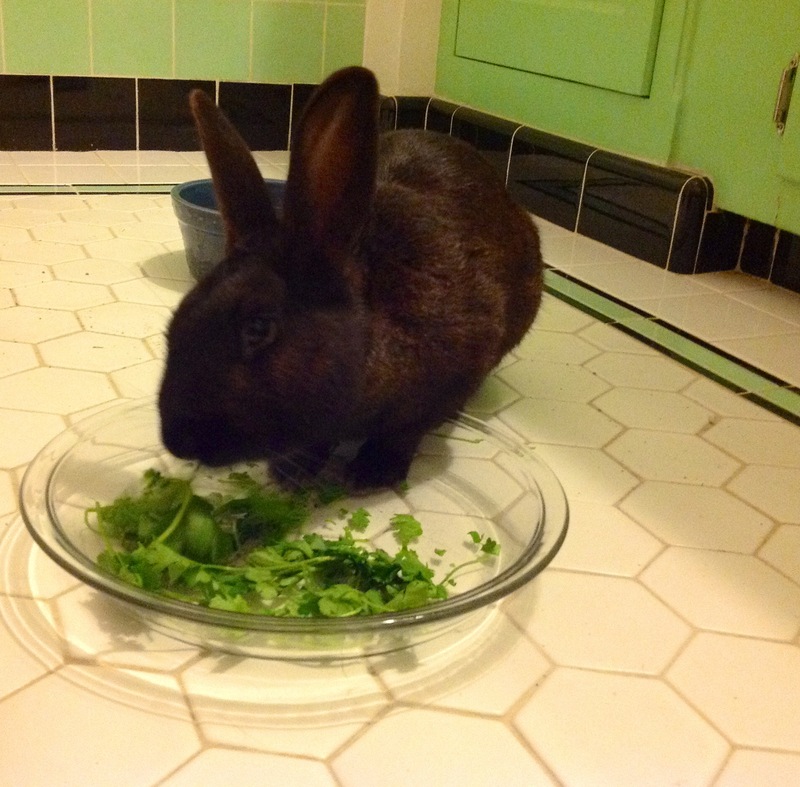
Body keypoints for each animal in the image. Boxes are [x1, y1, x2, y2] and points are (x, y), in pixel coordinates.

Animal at [158, 66, 543, 489]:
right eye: (178, 314)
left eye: (258, 328)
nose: (177, 441)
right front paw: (291, 473)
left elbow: (403, 433)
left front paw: (372, 473)